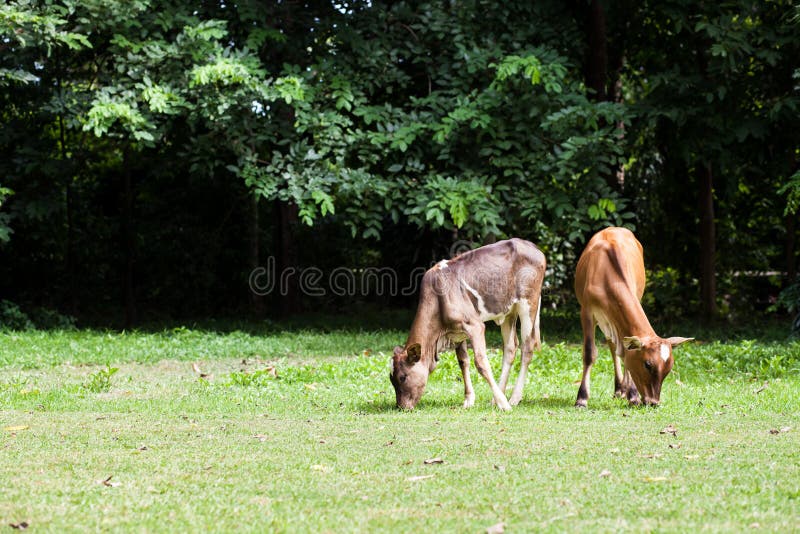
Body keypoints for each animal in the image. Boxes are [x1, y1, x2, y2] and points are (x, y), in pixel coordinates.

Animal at [390, 238, 546, 411]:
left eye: (403, 377)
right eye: (392, 379)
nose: (401, 406)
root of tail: (531, 245)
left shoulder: (475, 325)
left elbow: (481, 363)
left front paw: (504, 404)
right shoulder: (457, 332)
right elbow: (463, 361)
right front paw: (469, 399)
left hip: (528, 303)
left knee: (527, 347)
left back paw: (513, 398)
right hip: (507, 311)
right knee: (511, 348)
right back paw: (496, 398)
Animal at [574, 227, 693, 407]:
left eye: (669, 368)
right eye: (648, 364)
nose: (653, 402)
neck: (608, 277)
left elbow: (625, 352)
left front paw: (633, 396)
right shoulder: (587, 311)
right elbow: (589, 353)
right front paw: (581, 398)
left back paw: (622, 390)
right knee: (611, 346)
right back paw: (618, 389)